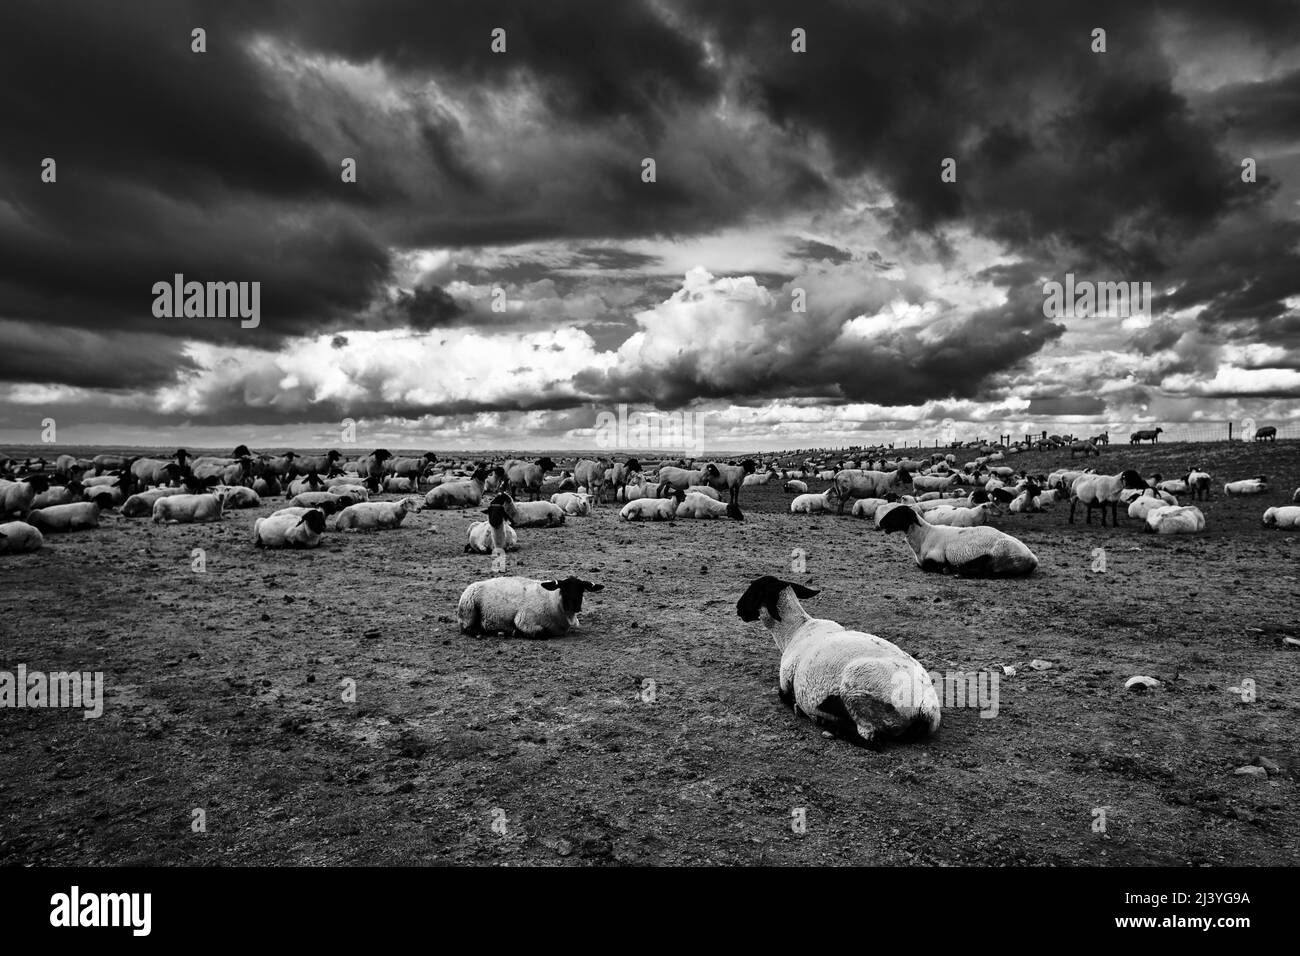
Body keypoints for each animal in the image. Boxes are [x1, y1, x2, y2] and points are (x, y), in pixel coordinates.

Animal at [457, 575, 604, 638]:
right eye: (564, 589)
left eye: (582, 590)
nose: (576, 607)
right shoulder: (524, 620)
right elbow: (541, 632)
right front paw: (515, 632)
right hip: (468, 611)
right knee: (466, 628)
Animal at [735, 576, 940, 747]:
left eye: (753, 590)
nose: (738, 608)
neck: (795, 631)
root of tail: (926, 709)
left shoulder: (785, 681)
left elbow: (783, 696)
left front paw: (796, 706)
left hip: (856, 691)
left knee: (872, 741)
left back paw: (829, 725)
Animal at [877, 503, 1038, 577]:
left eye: (897, 513)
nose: (881, 523)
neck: (924, 535)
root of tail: (1033, 559)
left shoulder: (937, 558)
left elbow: (928, 566)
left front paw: (946, 569)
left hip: (997, 557)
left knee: (985, 571)